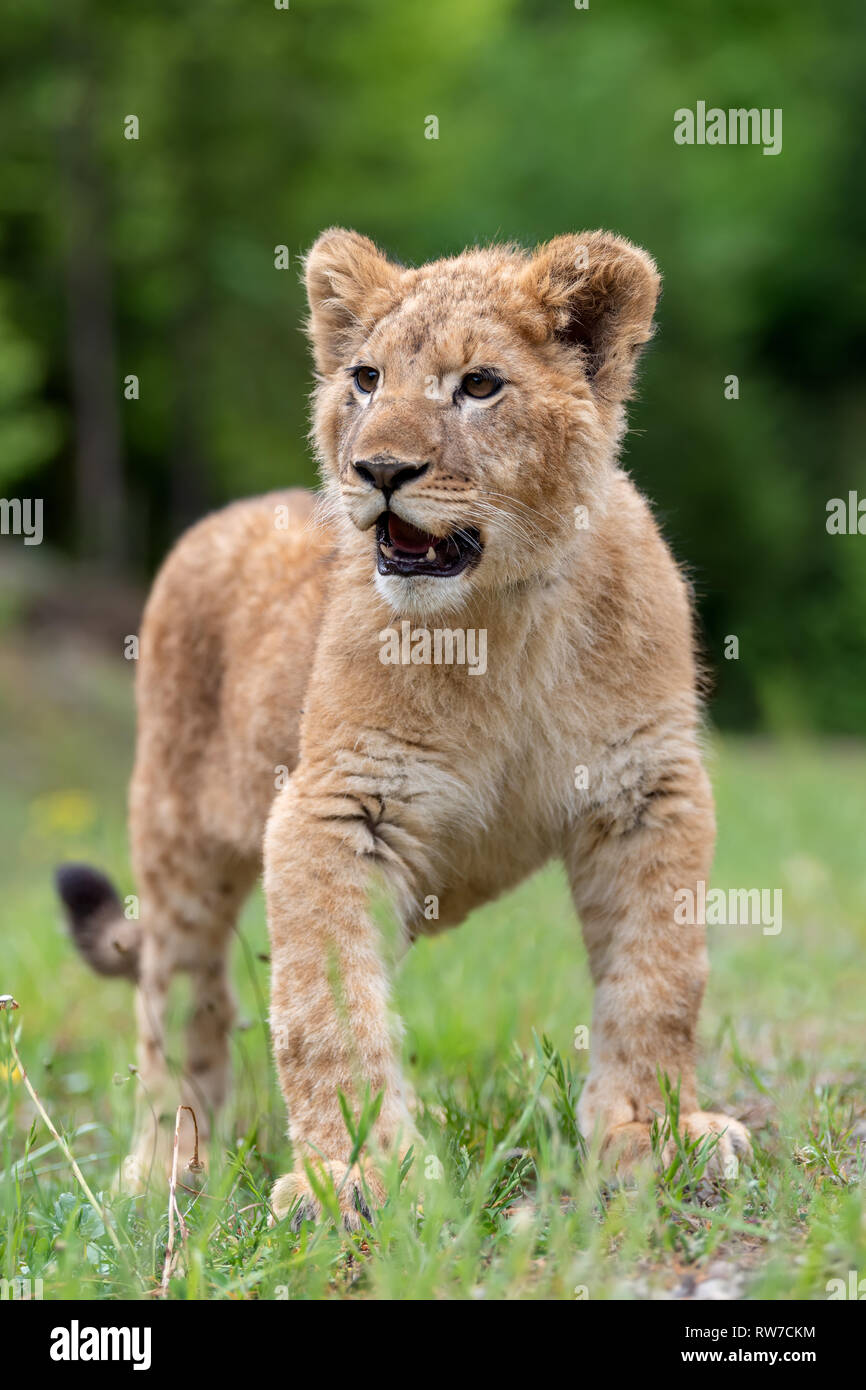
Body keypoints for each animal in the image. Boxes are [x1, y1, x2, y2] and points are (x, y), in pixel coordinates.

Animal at [56, 228, 751, 1224]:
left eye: (480, 385)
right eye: (367, 379)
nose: (380, 472)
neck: (498, 622)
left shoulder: (646, 792)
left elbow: (658, 979)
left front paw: (649, 1137)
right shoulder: (332, 808)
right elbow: (329, 1013)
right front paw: (355, 1177)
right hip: (174, 841)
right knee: (178, 1011)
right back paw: (164, 1174)